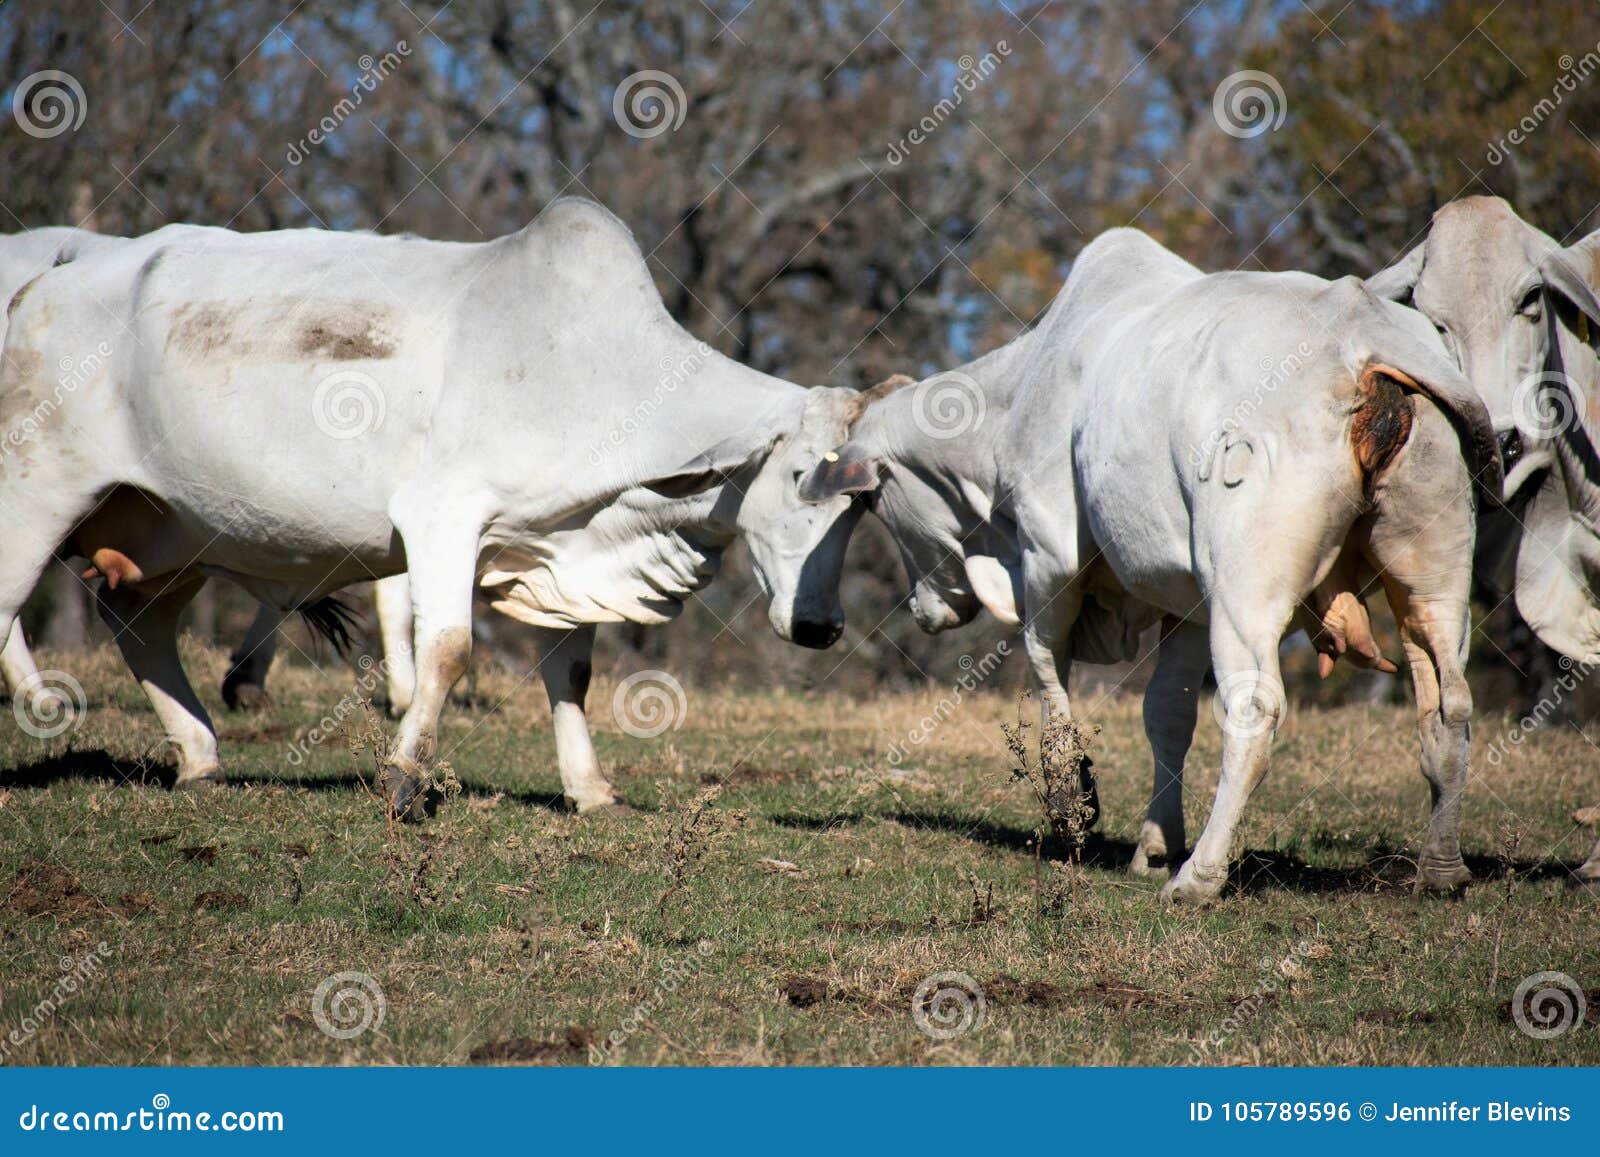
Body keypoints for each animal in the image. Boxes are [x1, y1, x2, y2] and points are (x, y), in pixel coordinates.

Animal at [0, 198, 864, 819]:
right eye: (797, 475)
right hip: (39, 488)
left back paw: (202, 756)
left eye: (863, 508)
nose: (820, 626)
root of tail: (50, 278)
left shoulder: (558, 541)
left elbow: (573, 671)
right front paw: (406, 778)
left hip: (171, 525)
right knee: (14, 604)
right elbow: (448, 649)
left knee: (136, 623)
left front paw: (591, 791)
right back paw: (54, 706)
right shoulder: (443, 517)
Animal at [799, 228, 1501, 903]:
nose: (925, 611)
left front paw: (1074, 802)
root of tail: (1362, 334)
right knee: (1449, 702)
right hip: (1433, 571)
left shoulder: (1049, 557)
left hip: (1244, 584)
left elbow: (1048, 675)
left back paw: (1199, 879)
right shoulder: (1186, 606)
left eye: (873, 501)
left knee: (1255, 708)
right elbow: (1167, 713)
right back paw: (1441, 870)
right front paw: (1155, 844)